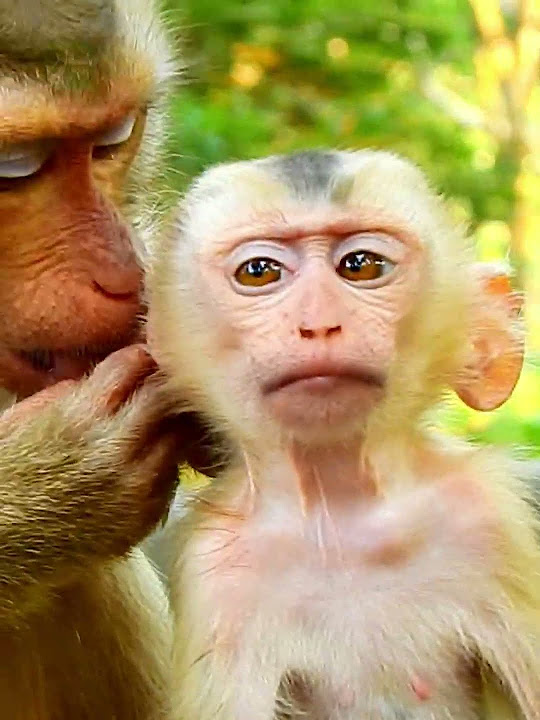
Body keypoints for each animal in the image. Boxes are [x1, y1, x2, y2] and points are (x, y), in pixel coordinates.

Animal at [147, 149, 540, 719]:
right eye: (259, 272)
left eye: (362, 265)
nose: (318, 323)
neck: (343, 510)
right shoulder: (217, 578)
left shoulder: (487, 521)